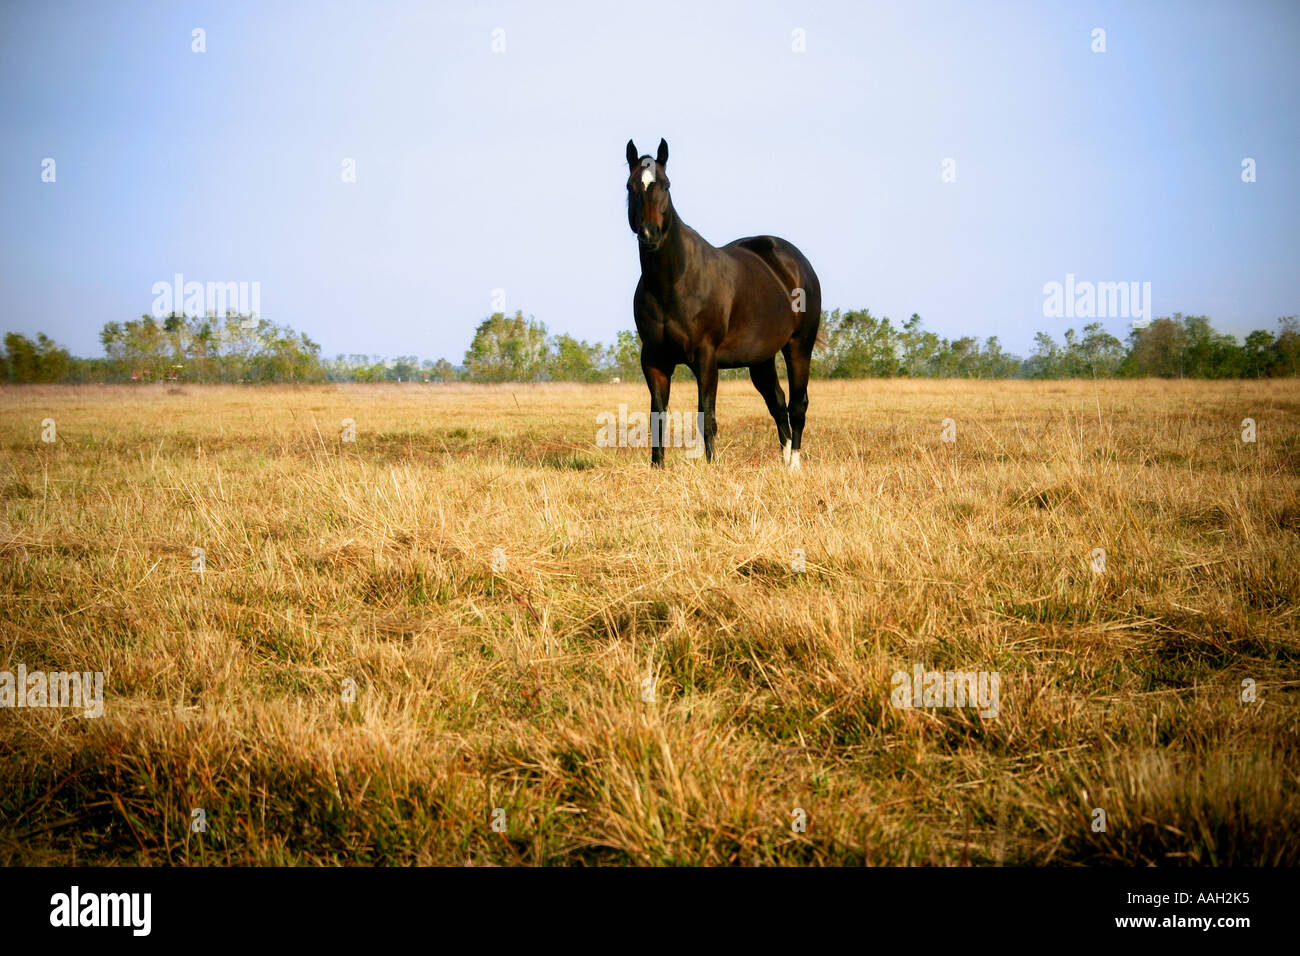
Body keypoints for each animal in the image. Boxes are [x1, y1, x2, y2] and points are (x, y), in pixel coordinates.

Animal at [625, 138, 820, 469]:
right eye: (630, 186)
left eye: (665, 184)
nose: (649, 235)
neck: (673, 281)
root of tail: (796, 261)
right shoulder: (654, 359)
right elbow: (657, 416)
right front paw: (657, 468)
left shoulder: (706, 356)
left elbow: (707, 414)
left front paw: (711, 465)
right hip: (761, 359)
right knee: (778, 402)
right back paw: (783, 460)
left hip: (799, 346)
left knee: (797, 404)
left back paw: (794, 463)